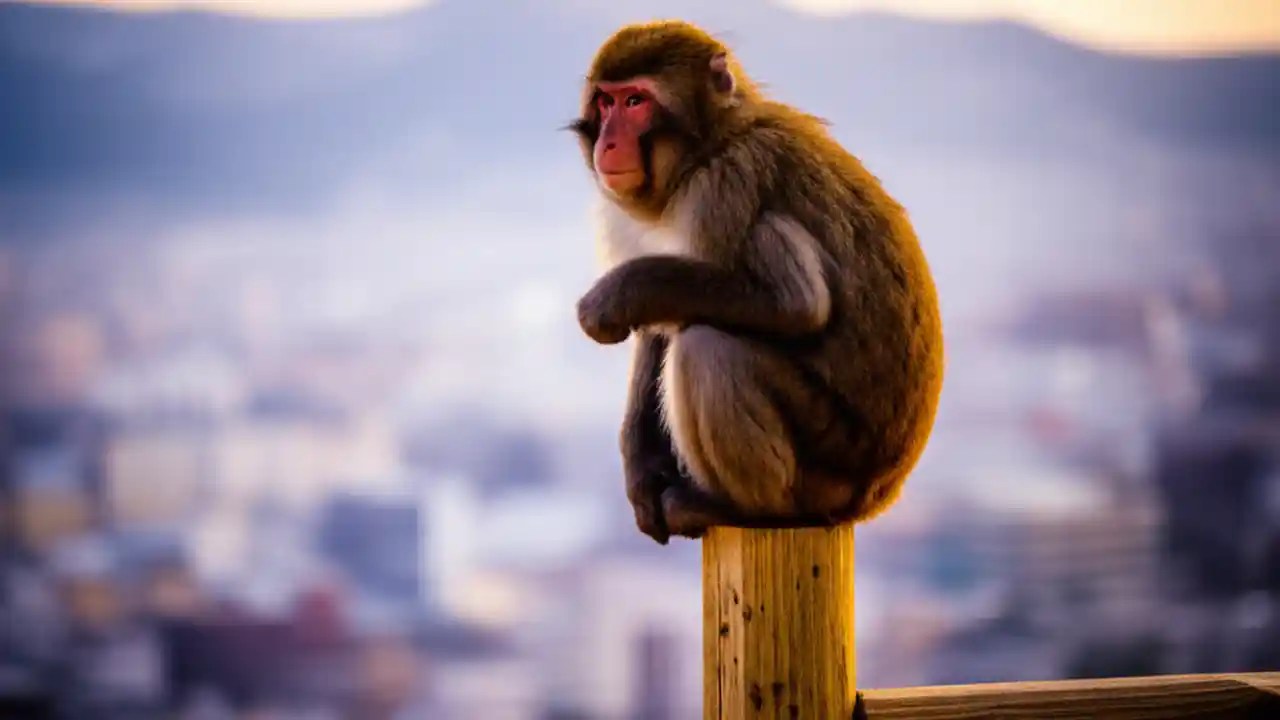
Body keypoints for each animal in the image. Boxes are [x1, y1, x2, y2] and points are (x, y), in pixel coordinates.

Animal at [569, 20, 944, 545]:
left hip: (827, 467)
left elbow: (794, 307)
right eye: (605, 102)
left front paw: (615, 296)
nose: (608, 142)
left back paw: (738, 508)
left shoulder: (724, 183)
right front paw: (643, 471)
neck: (706, 147)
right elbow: (656, 329)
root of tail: (879, 495)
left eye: (636, 101)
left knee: (712, 344)